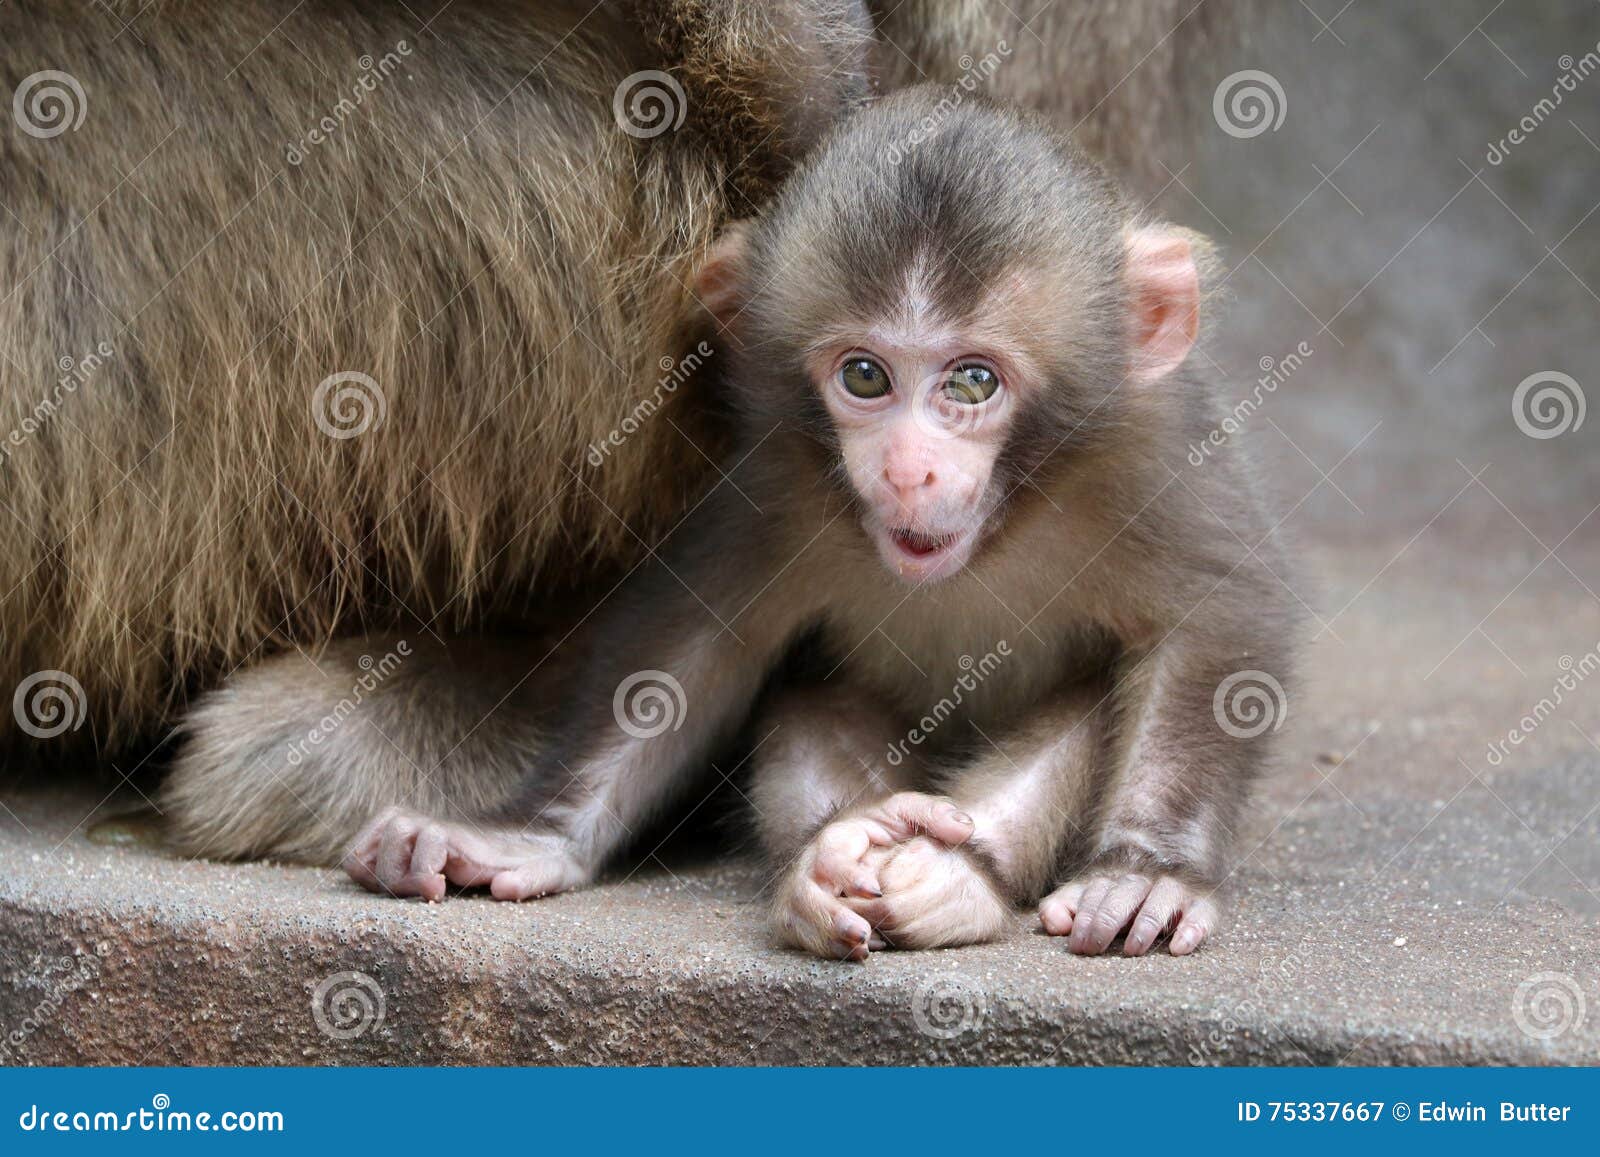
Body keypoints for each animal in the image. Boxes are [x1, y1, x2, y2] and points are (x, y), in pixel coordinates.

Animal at [165, 87, 1297, 960]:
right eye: (865, 377)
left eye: (973, 381)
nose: (909, 465)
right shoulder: (775, 480)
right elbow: (695, 643)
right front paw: (534, 835)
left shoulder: (1150, 459)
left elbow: (1217, 623)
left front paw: (1148, 871)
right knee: (815, 708)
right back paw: (834, 857)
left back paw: (953, 872)